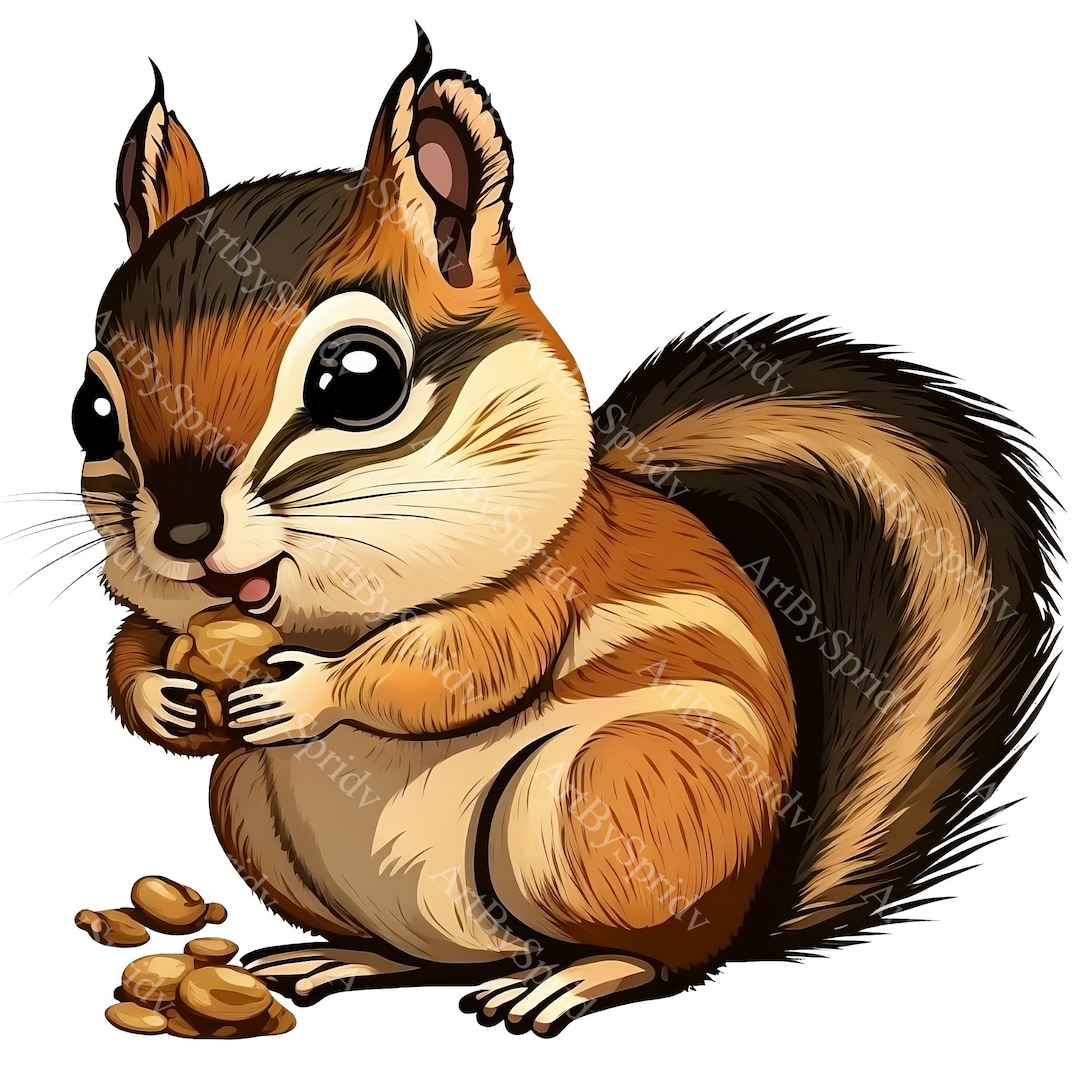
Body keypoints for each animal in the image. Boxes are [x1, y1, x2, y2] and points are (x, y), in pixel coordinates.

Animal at [76, 30, 1057, 1036]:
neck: (320, 618)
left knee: (660, 960)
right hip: (251, 808)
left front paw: (308, 694)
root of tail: (747, 911)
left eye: (359, 379)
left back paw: (569, 980)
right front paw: (160, 696)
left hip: (599, 795)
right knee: (415, 955)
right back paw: (342, 955)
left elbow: (454, 666)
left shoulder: (547, 583)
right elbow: (134, 643)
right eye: (91, 411)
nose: (186, 532)